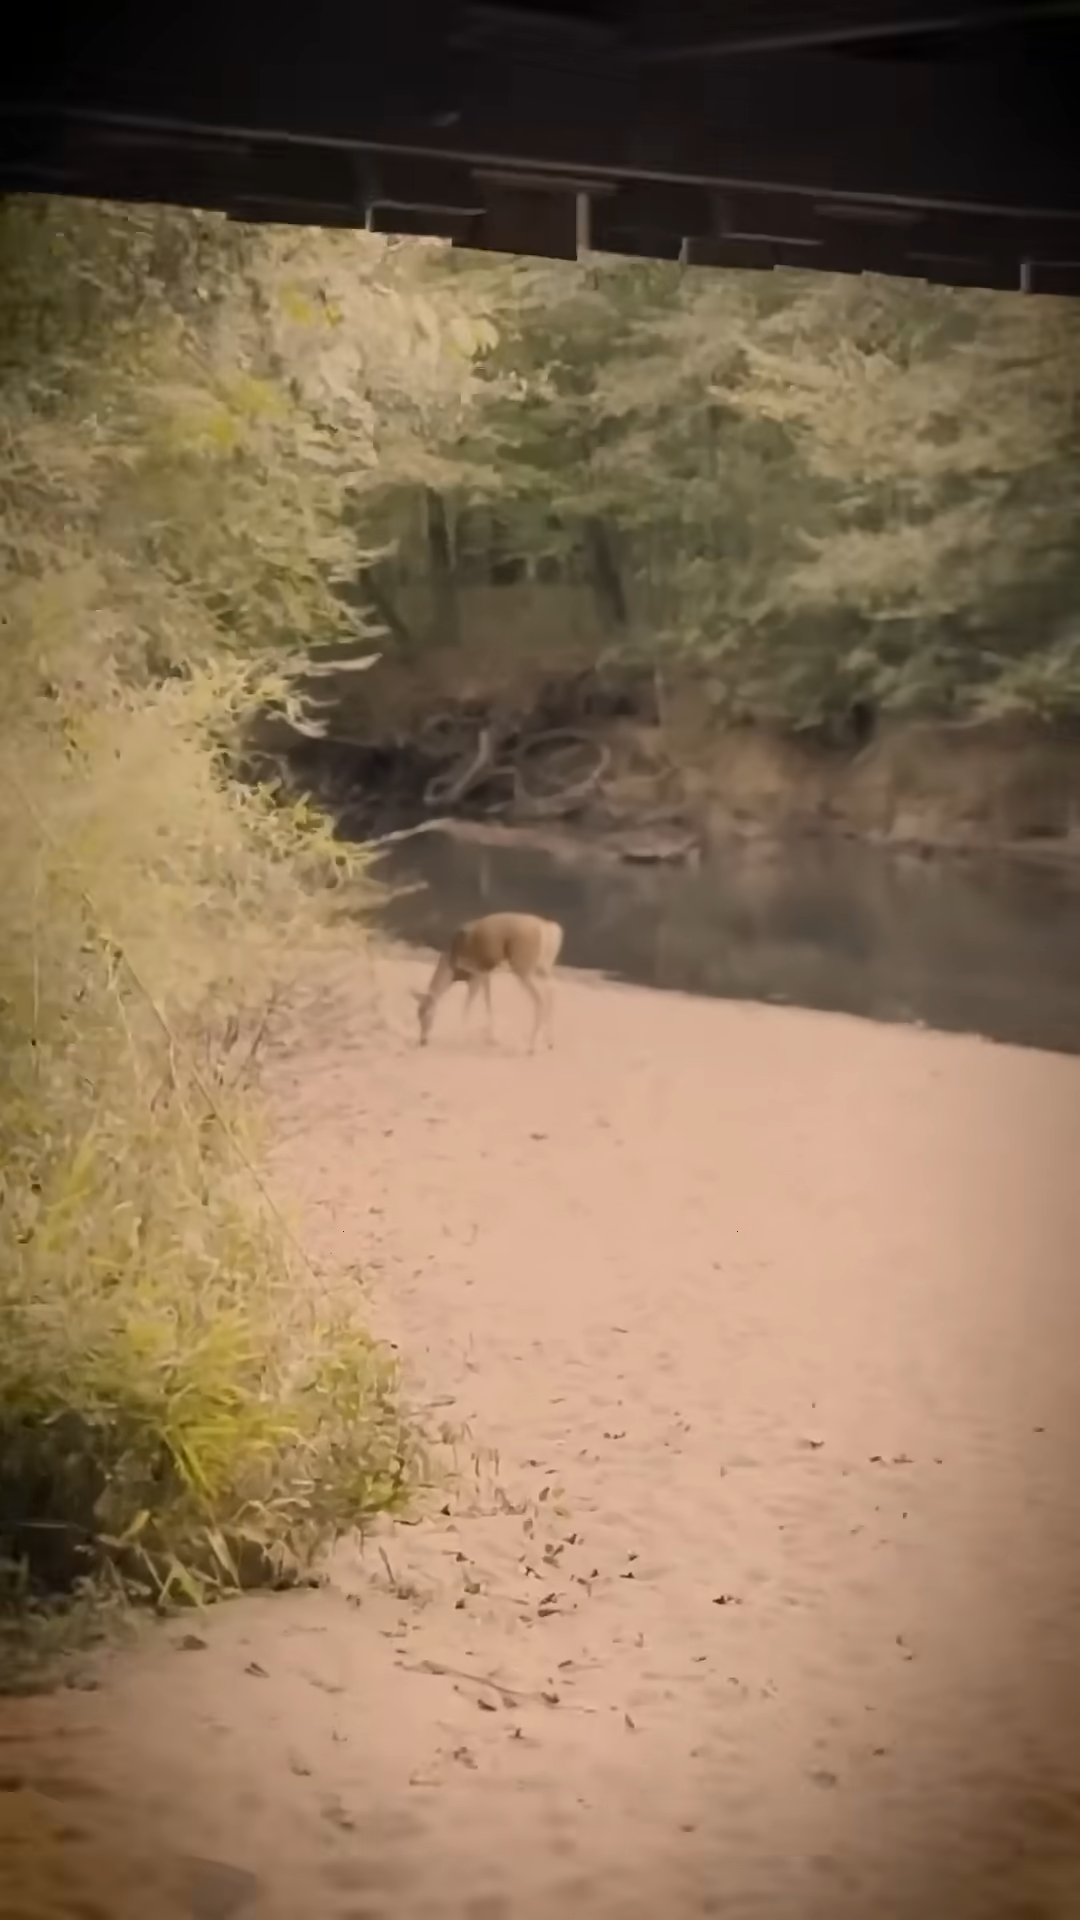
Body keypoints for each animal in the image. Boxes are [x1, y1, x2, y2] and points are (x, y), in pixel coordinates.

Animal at [412, 912, 564, 1053]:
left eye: (425, 1014)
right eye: (417, 1015)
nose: (423, 1041)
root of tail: (548, 929)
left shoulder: (477, 973)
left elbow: (471, 1003)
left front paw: (462, 1035)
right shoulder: (485, 974)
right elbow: (487, 1001)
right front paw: (490, 1037)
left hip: (524, 969)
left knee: (540, 999)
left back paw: (531, 1047)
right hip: (543, 967)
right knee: (552, 988)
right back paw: (549, 1043)